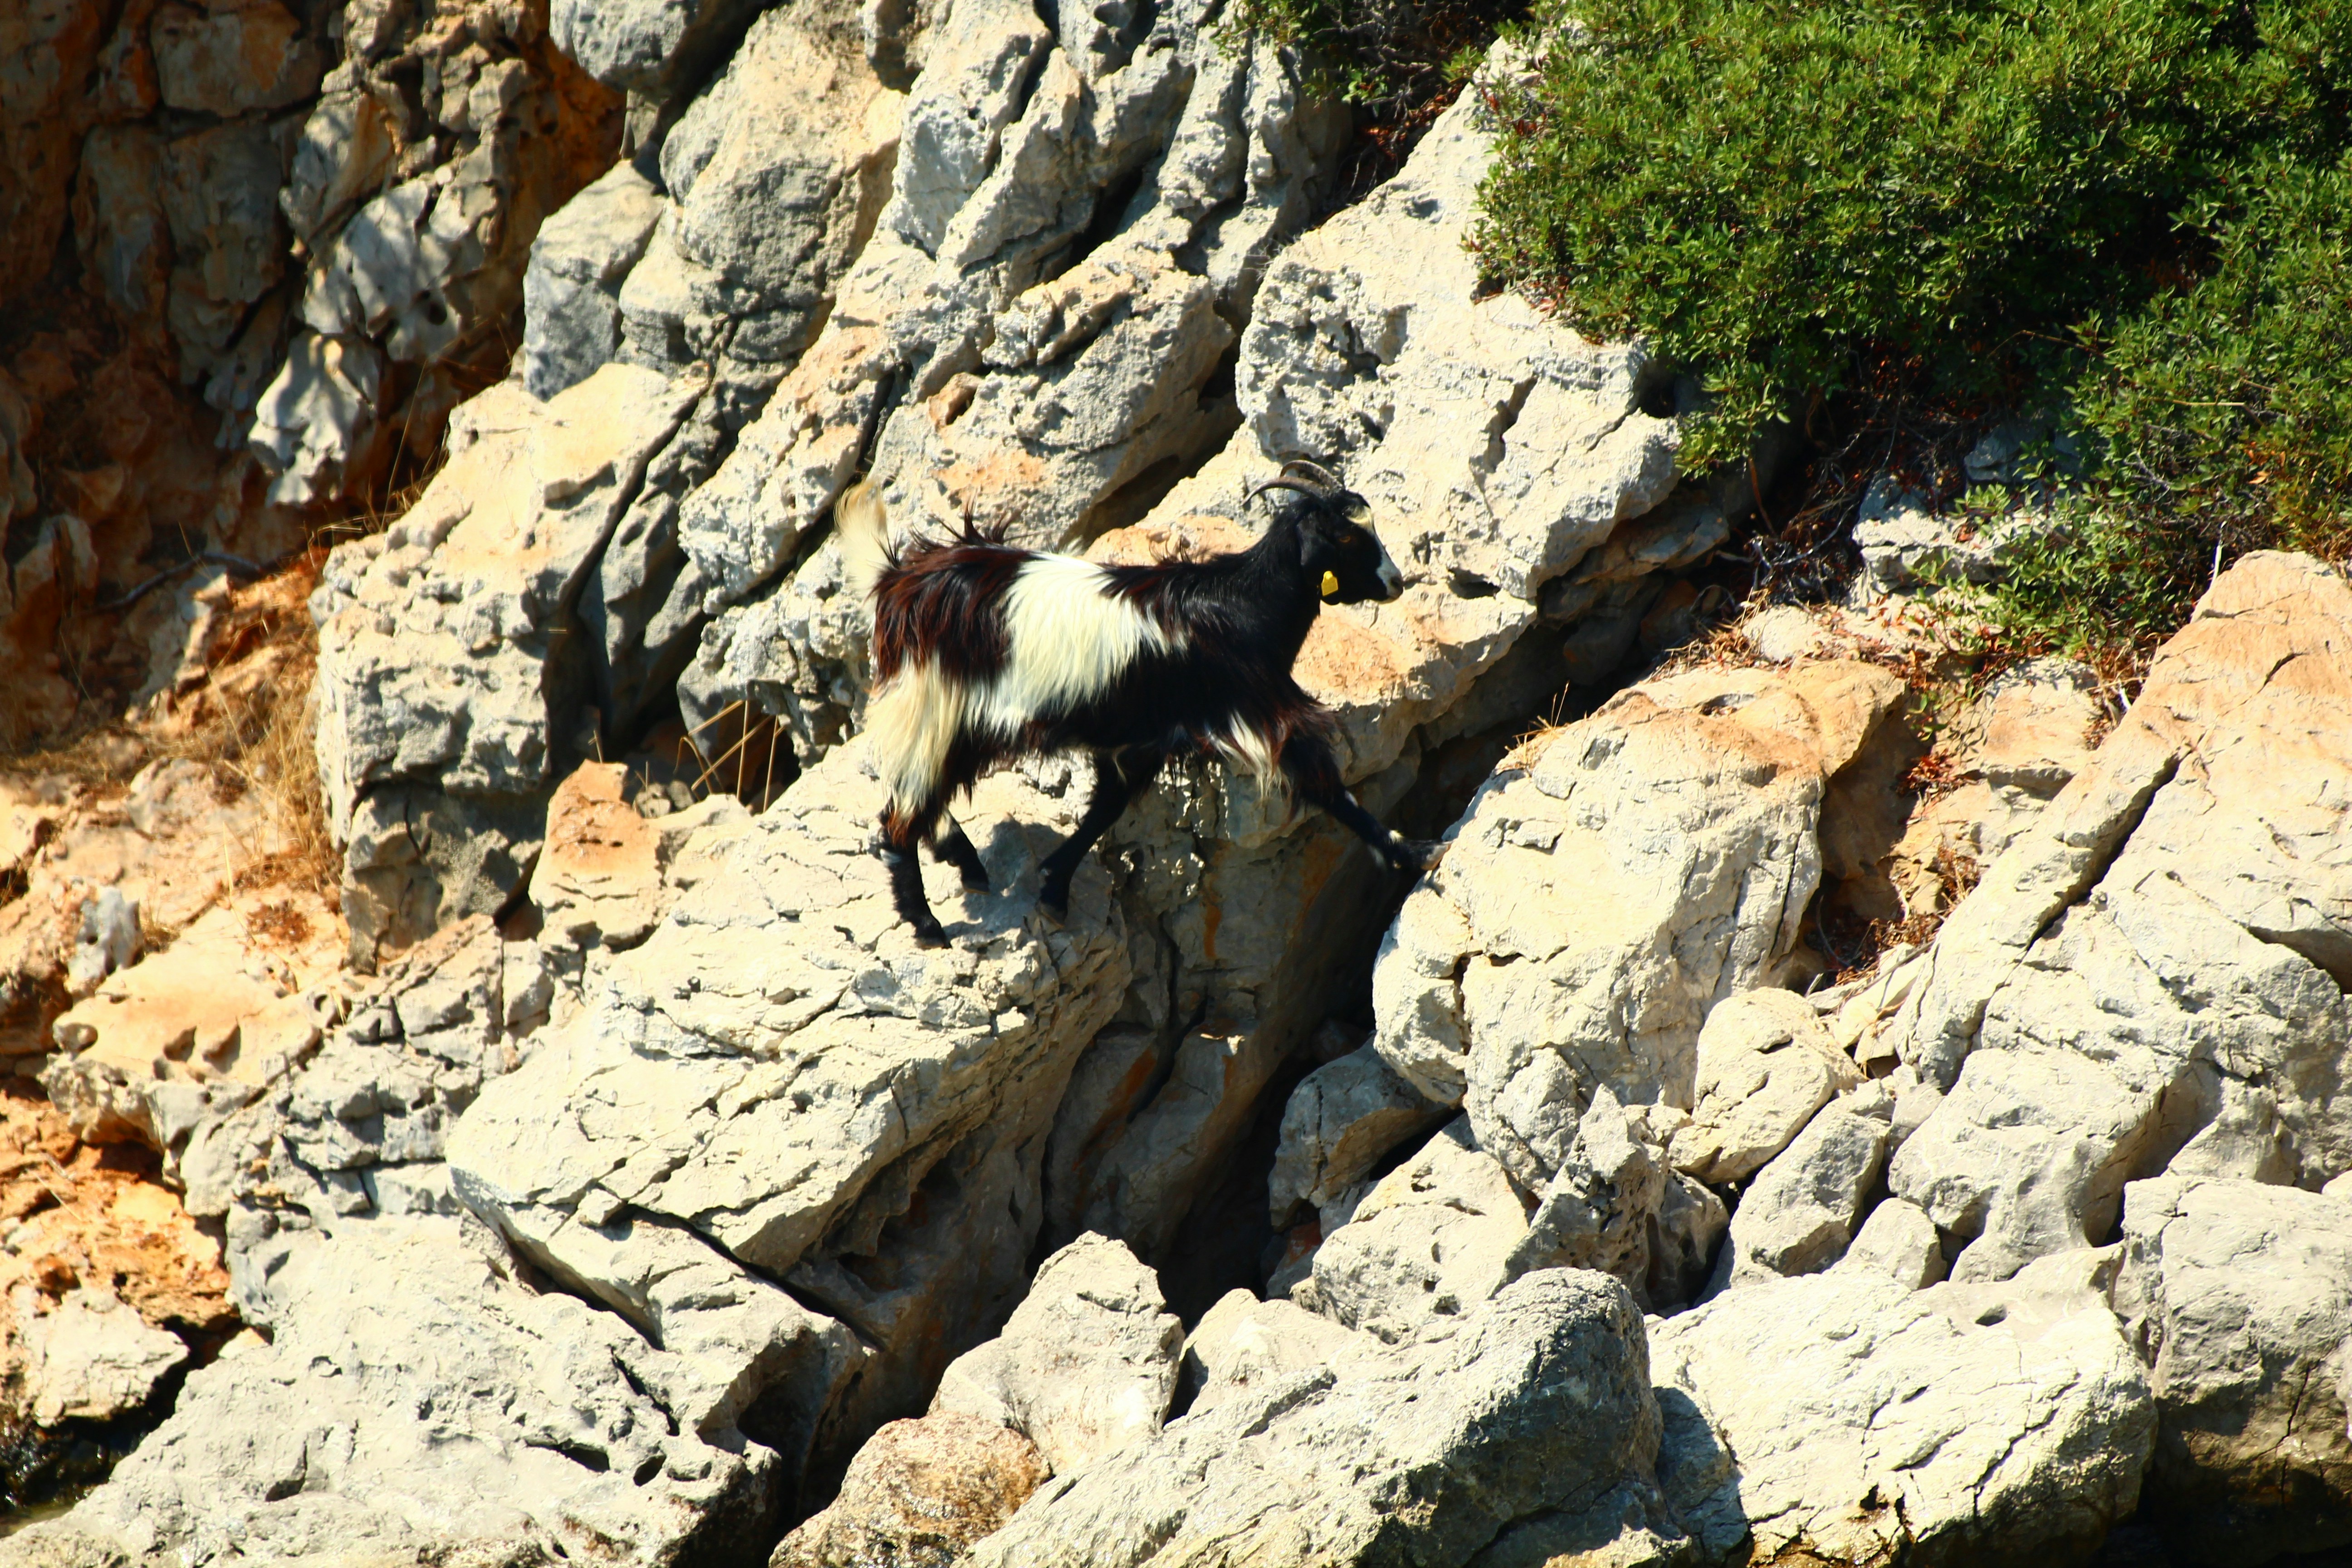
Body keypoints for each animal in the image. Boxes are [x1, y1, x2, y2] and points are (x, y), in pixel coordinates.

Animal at [837, 460, 1424, 947]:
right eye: (1346, 534)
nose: (1396, 582)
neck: (1241, 607)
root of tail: (898, 584)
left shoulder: (1141, 738)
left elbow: (1107, 810)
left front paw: (1053, 890)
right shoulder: (1258, 710)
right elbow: (1326, 786)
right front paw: (1411, 853)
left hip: (950, 718)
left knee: (920, 796)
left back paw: (964, 863)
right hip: (939, 707)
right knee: (899, 814)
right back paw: (926, 923)